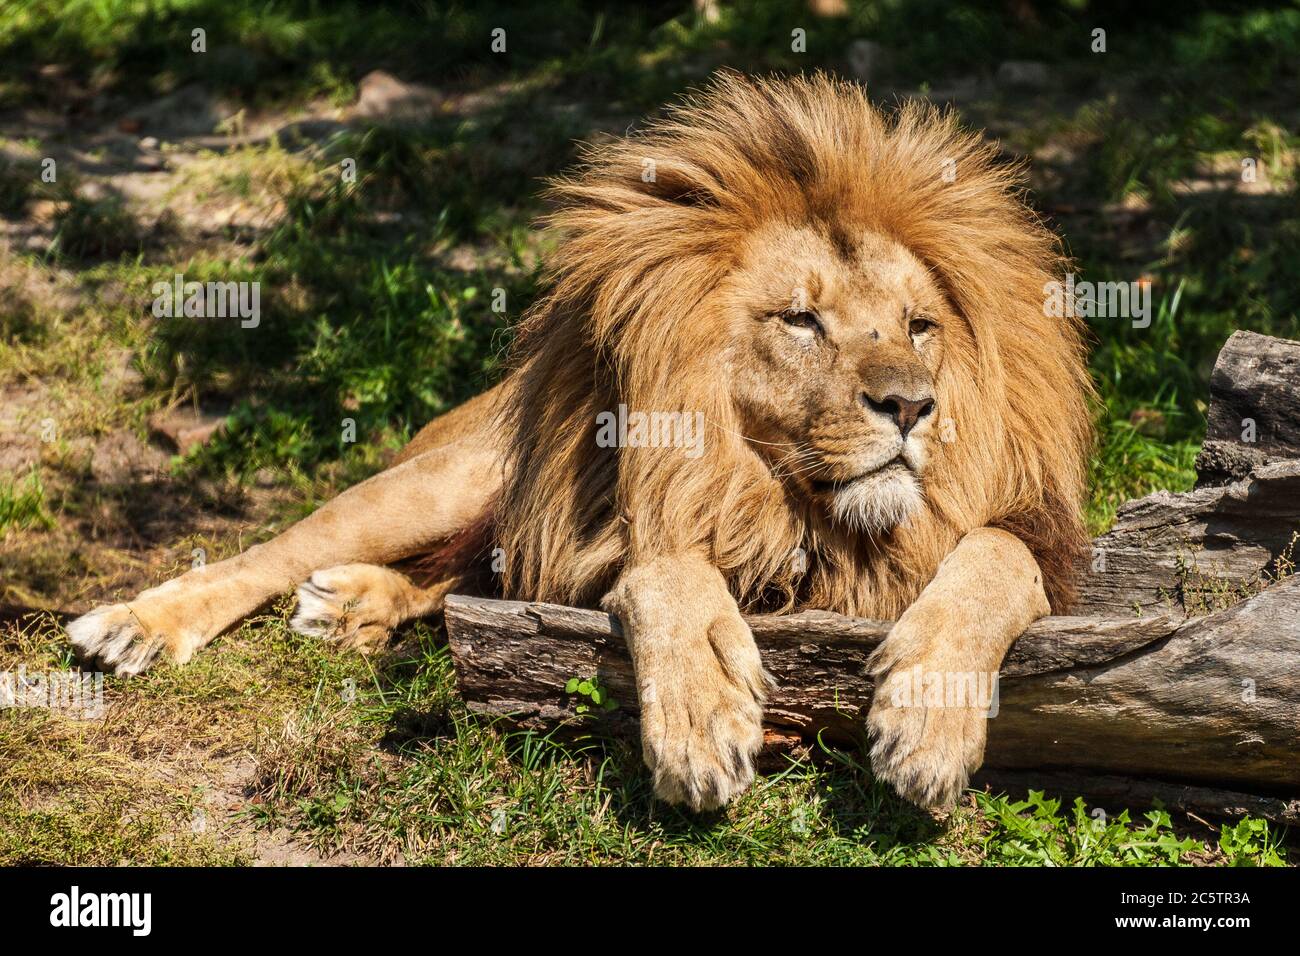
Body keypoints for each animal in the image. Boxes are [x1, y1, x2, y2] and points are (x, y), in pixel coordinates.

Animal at [67, 72, 1094, 811]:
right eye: (801, 320)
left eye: (921, 327)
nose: (914, 408)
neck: (781, 499)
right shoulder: (599, 538)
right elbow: (667, 566)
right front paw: (700, 711)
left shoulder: (1025, 539)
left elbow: (994, 555)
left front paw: (928, 719)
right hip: (445, 479)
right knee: (273, 552)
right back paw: (136, 626)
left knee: (450, 577)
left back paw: (353, 603)